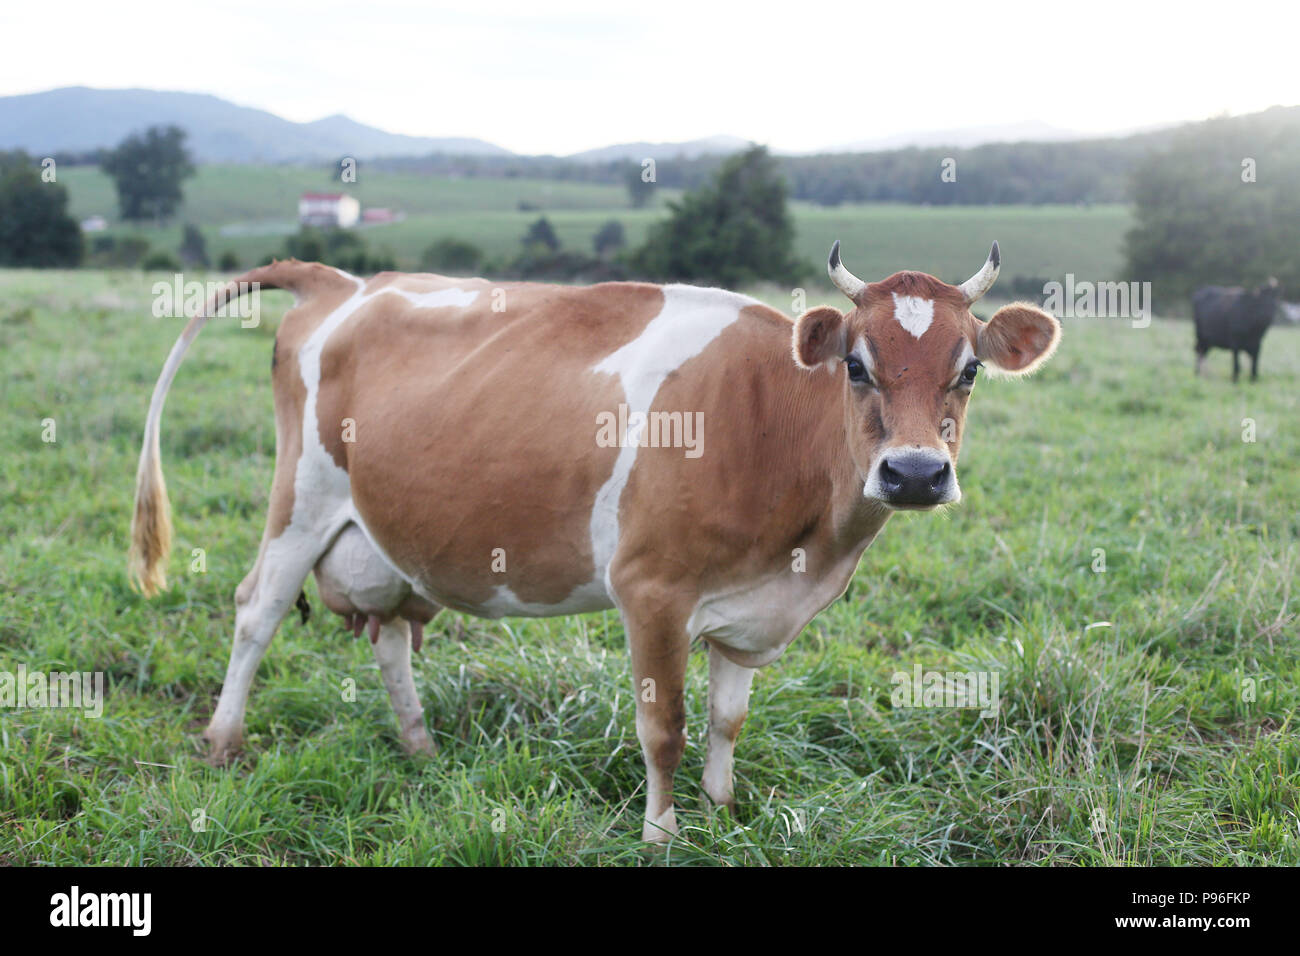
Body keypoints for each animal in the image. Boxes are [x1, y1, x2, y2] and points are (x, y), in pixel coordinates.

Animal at [128, 241, 1060, 842]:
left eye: (969, 369)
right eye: (857, 366)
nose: (915, 473)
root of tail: (344, 281)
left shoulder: (752, 608)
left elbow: (728, 719)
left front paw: (722, 811)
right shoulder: (651, 591)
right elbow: (665, 726)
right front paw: (661, 834)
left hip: (388, 534)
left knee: (389, 636)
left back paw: (421, 750)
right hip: (303, 498)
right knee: (256, 610)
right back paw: (223, 743)